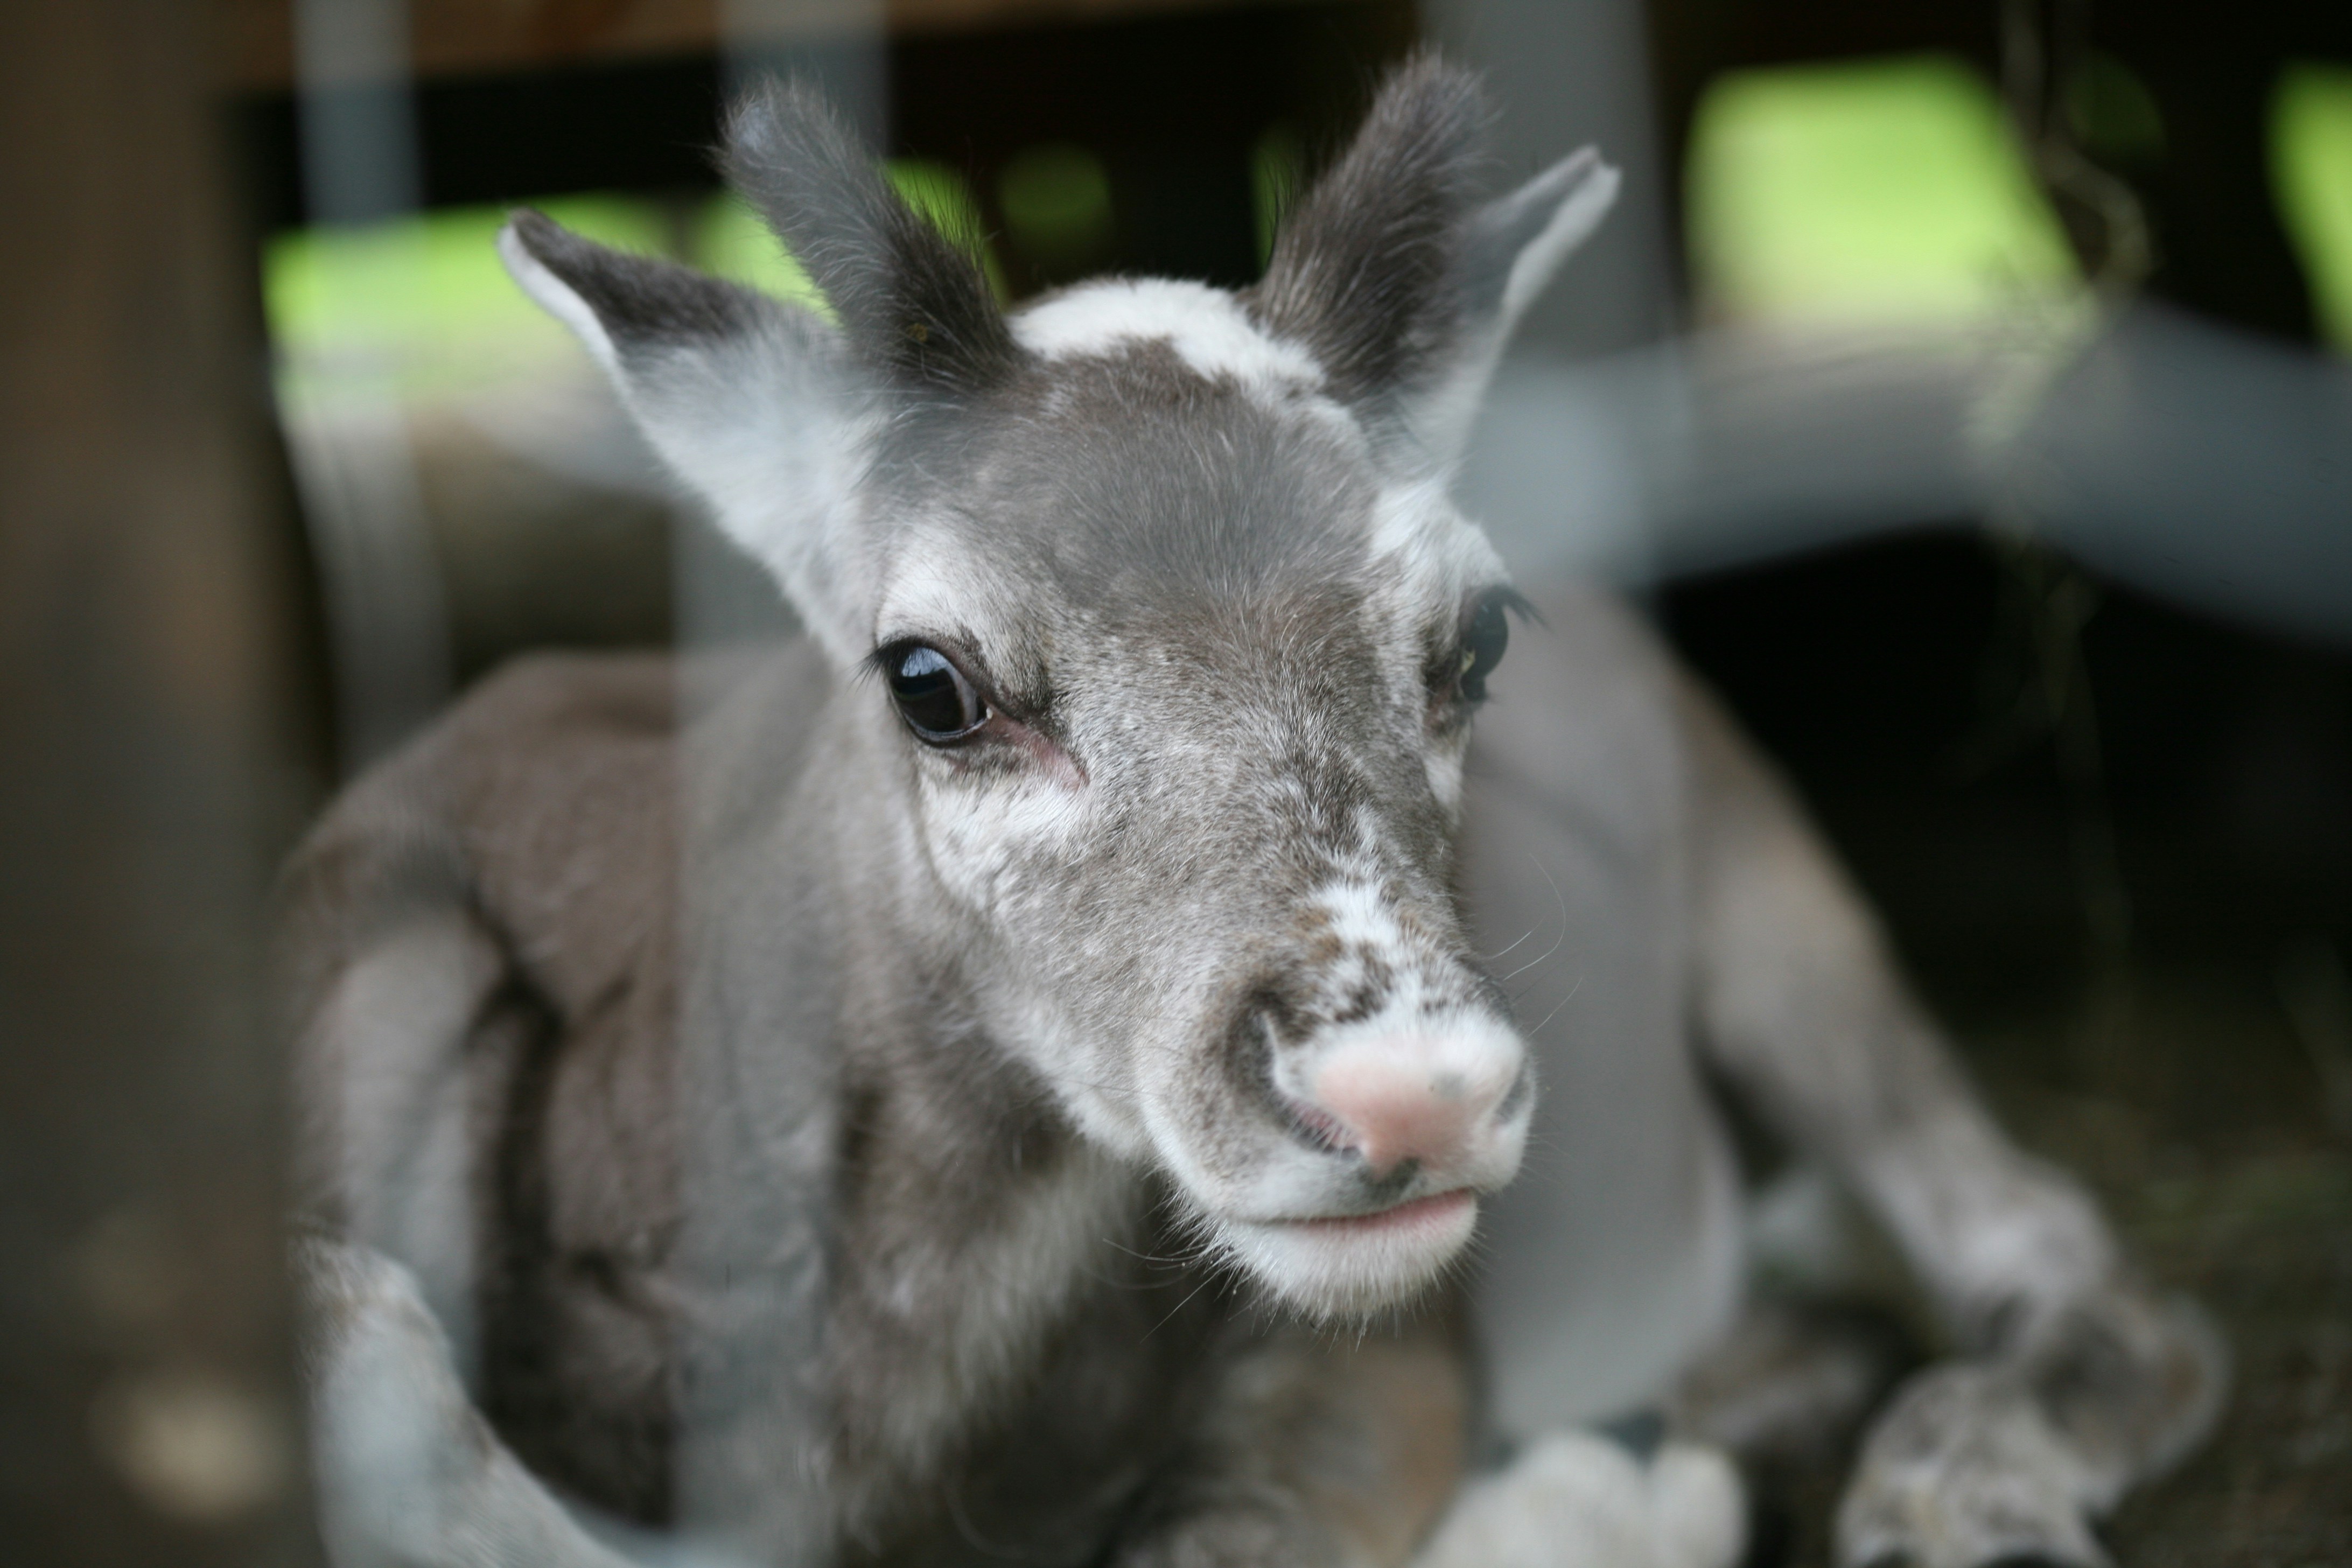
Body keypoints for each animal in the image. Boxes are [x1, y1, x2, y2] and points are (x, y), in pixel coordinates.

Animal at [286, 55, 2223, 1568]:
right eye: (930, 678)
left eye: (1474, 633)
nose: (1413, 1089)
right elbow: (366, 1331)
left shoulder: (1394, 1343)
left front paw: (1591, 1502)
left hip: (1778, 895)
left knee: (2052, 1236)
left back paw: (1951, 1491)